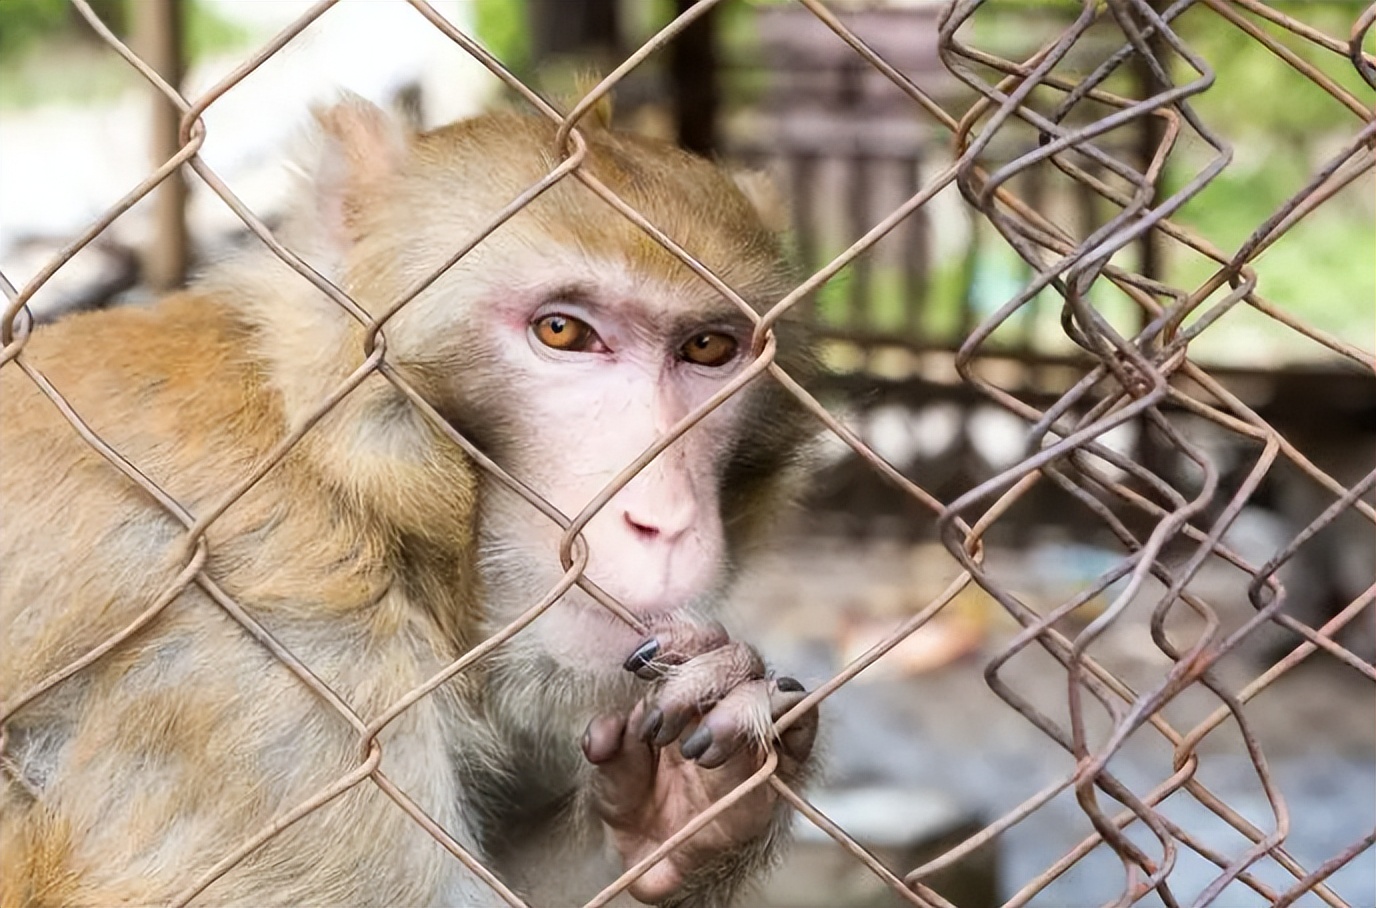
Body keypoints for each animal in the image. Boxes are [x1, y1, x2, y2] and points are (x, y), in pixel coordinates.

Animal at [0, 96, 819, 907]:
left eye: (707, 349)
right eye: (563, 331)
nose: (664, 520)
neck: (349, 478)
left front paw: (684, 807)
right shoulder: (273, 658)